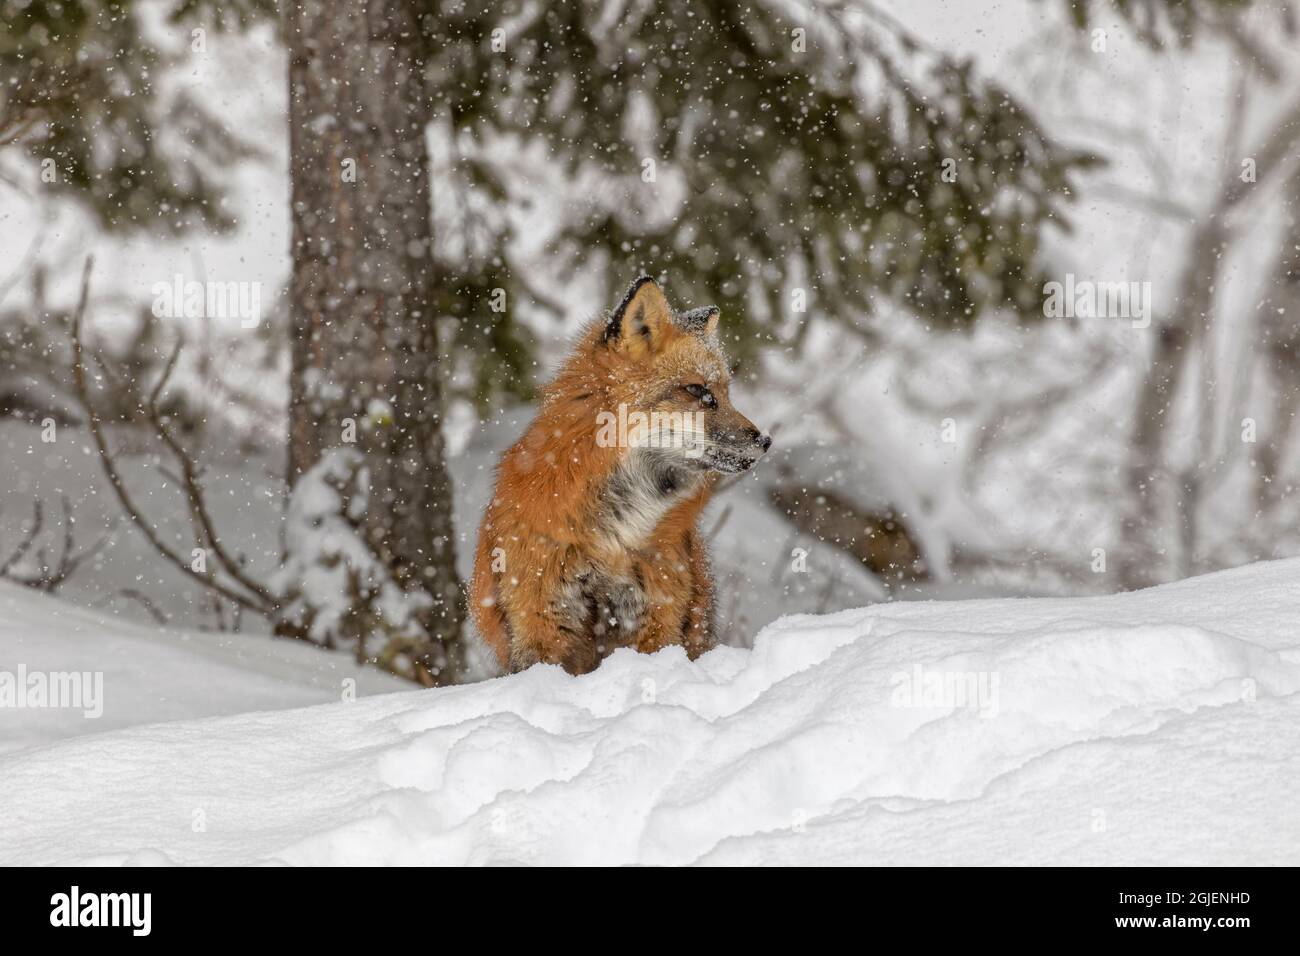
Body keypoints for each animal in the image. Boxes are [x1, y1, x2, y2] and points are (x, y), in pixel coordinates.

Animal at [471, 275, 772, 675]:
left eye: (725, 393)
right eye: (698, 391)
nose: (766, 441)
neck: (614, 533)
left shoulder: (657, 614)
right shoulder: (539, 618)